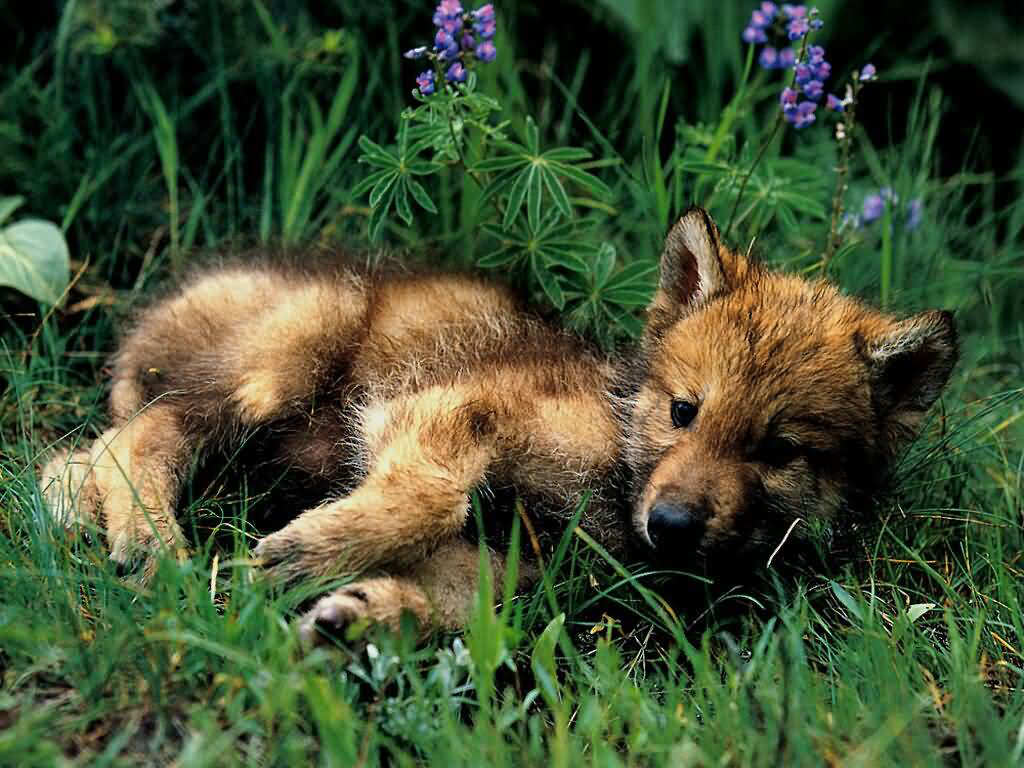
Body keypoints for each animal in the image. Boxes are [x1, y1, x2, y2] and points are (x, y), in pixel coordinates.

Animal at [40, 207, 957, 645]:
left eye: (779, 451)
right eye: (683, 411)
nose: (669, 526)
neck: (616, 457)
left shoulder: (520, 566)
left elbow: (450, 601)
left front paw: (357, 618)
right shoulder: (443, 409)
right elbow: (430, 498)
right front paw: (304, 551)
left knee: (93, 448)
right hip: (294, 353)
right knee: (139, 436)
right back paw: (148, 541)